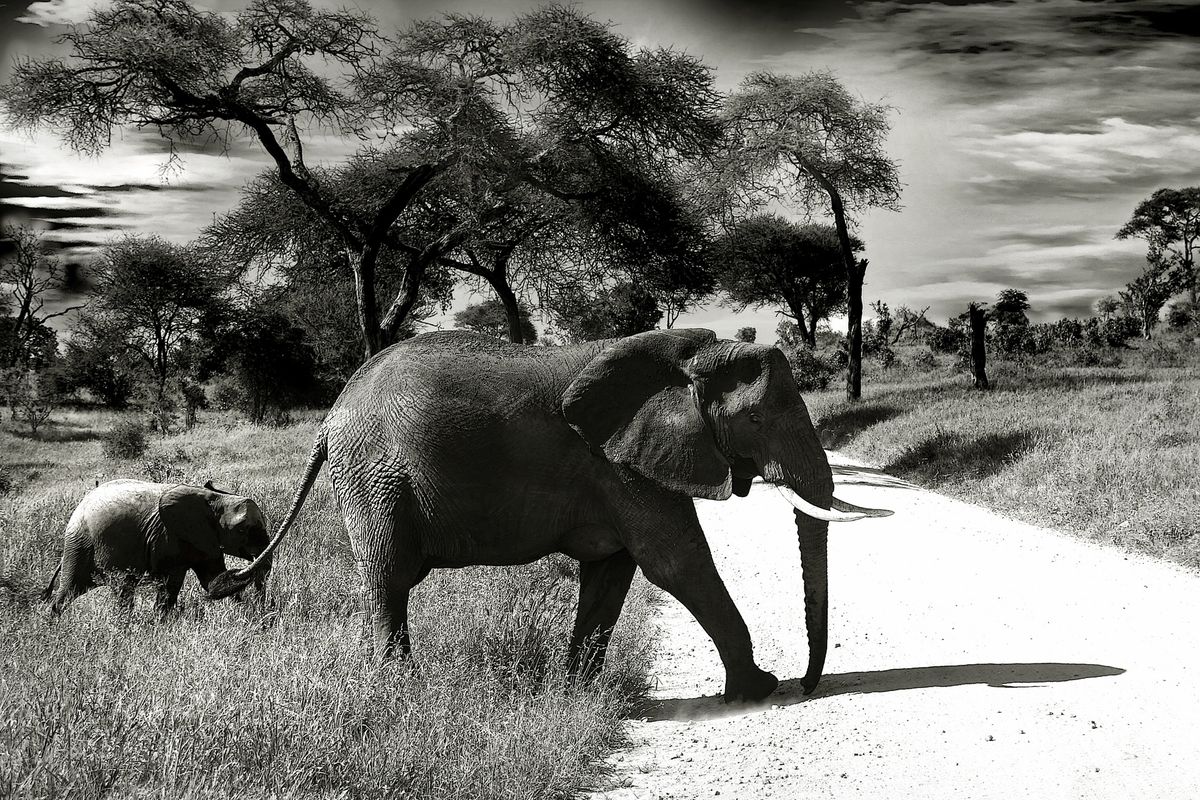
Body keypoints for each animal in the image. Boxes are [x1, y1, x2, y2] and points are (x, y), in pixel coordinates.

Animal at [44, 479, 270, 619]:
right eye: (242, 529)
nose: (264, 612)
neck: (214, 498)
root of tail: (80, 506)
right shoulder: (169, 536)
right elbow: (172, 582)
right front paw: (161, 624)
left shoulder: (204, 538)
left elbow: (213, 581)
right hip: (79, 542)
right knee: (83, 588)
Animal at [210, 329, 890, 702]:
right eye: (754, 419)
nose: (808, 683)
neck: (689, 354)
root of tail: (329, 418)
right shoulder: (619, 464)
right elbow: (677, 563)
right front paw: (759, 690)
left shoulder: (619, 466)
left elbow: (614, 571)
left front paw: (575, 695)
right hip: (373, 479)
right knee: (388, 578)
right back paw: (398, 689)